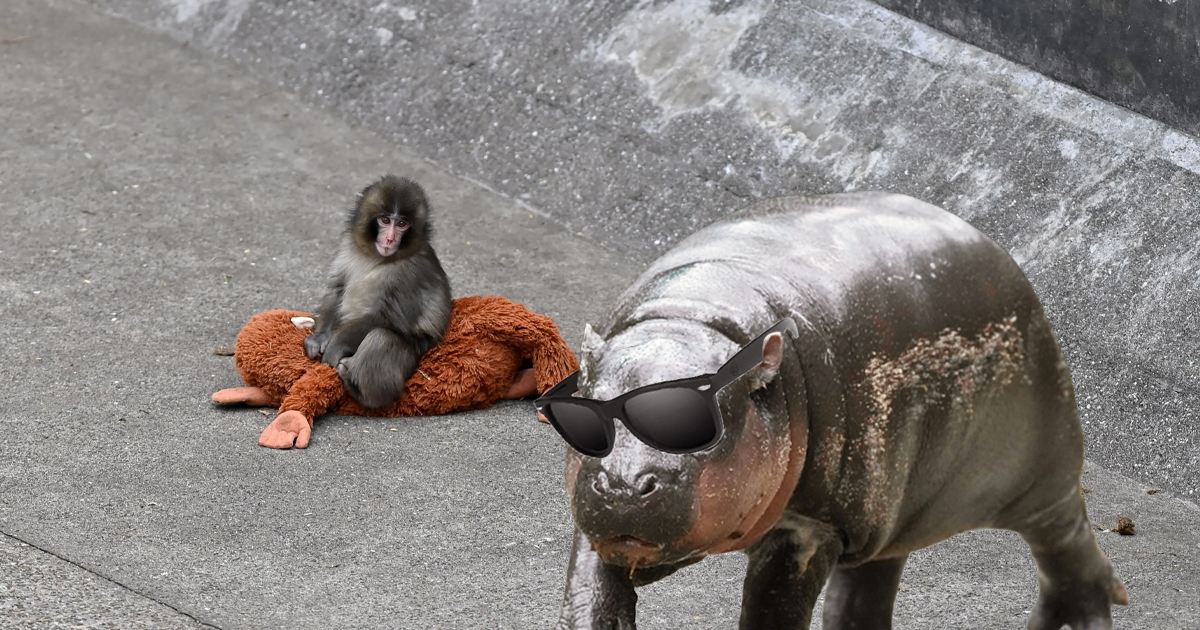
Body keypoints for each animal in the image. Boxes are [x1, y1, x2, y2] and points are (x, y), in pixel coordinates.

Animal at [303, 175, 452, 409]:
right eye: (385, 220)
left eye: (402, 224)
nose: (390, 239)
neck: (378, 256)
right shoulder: (347, 245)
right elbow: (338, 288)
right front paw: (320, 339)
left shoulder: (410, 273)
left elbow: (385, 317)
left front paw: (334, 348)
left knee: (382, 337)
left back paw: (361, 392)